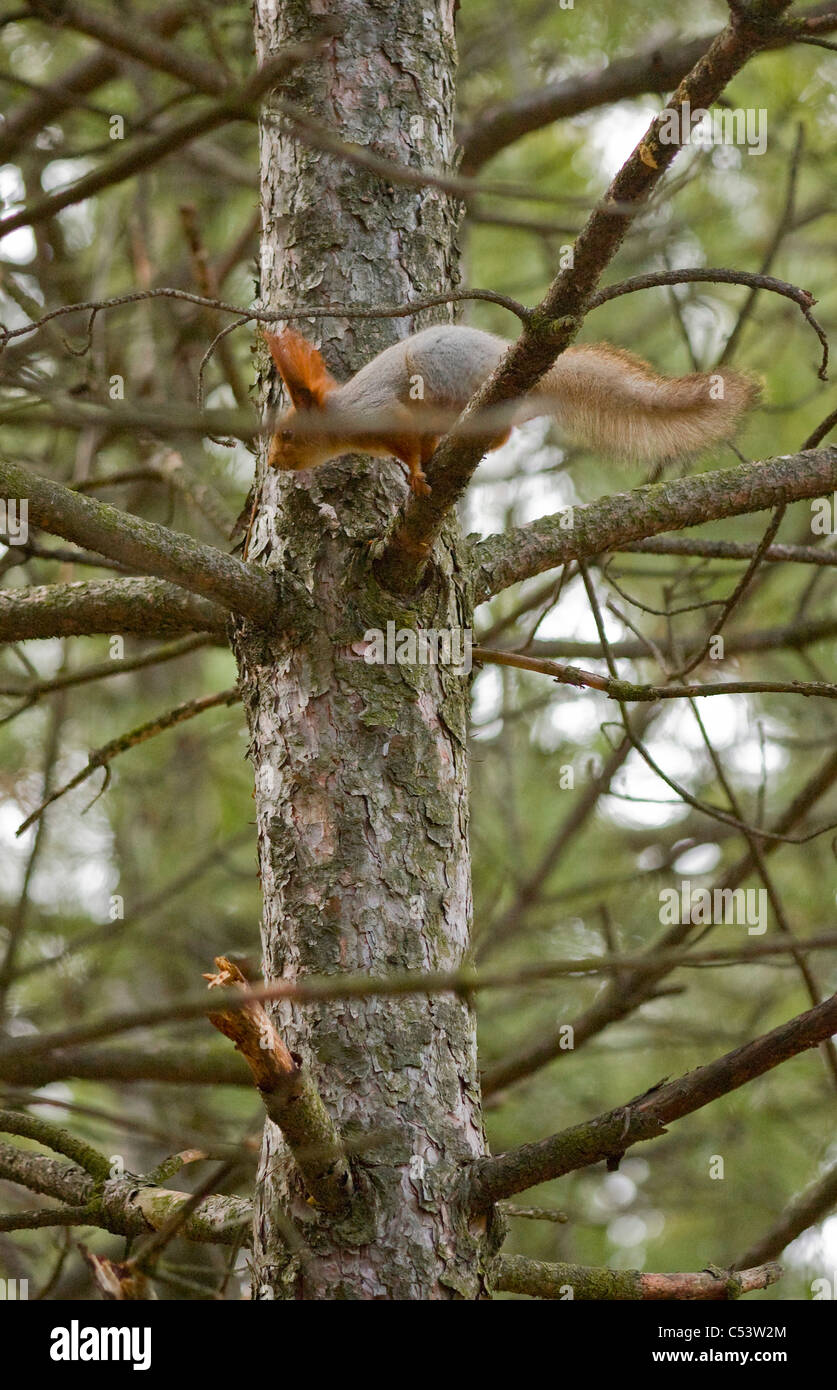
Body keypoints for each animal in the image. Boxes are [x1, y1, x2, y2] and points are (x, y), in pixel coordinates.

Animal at [264, 324, 759, 497]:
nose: (271, 462)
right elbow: (420, 447)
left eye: (286, 434)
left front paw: (417, 476)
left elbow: (409, 447)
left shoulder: (384, 413)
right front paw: (420, 468)